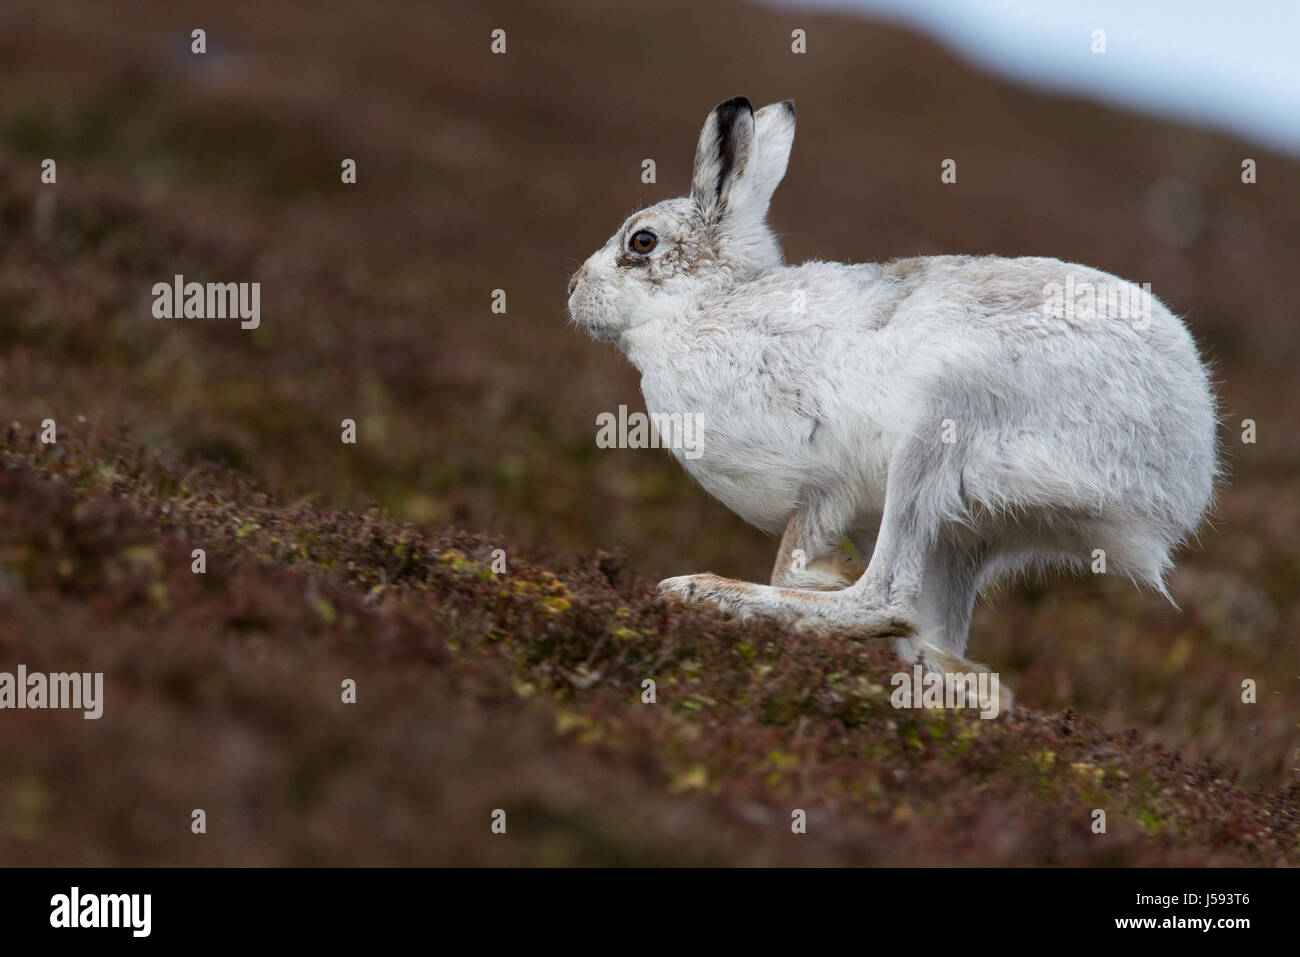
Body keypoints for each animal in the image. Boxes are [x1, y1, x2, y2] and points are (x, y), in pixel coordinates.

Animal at [567, 95, 1219, 683]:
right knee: (928, 632)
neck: (704, 308)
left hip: (944, 419)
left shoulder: (822, 481)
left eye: (642, 242)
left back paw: (703, 590)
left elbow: (794, 563)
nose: (572, 290)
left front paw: (805, 583)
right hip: (964, 537)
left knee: (888, 599)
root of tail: (1183, 473)